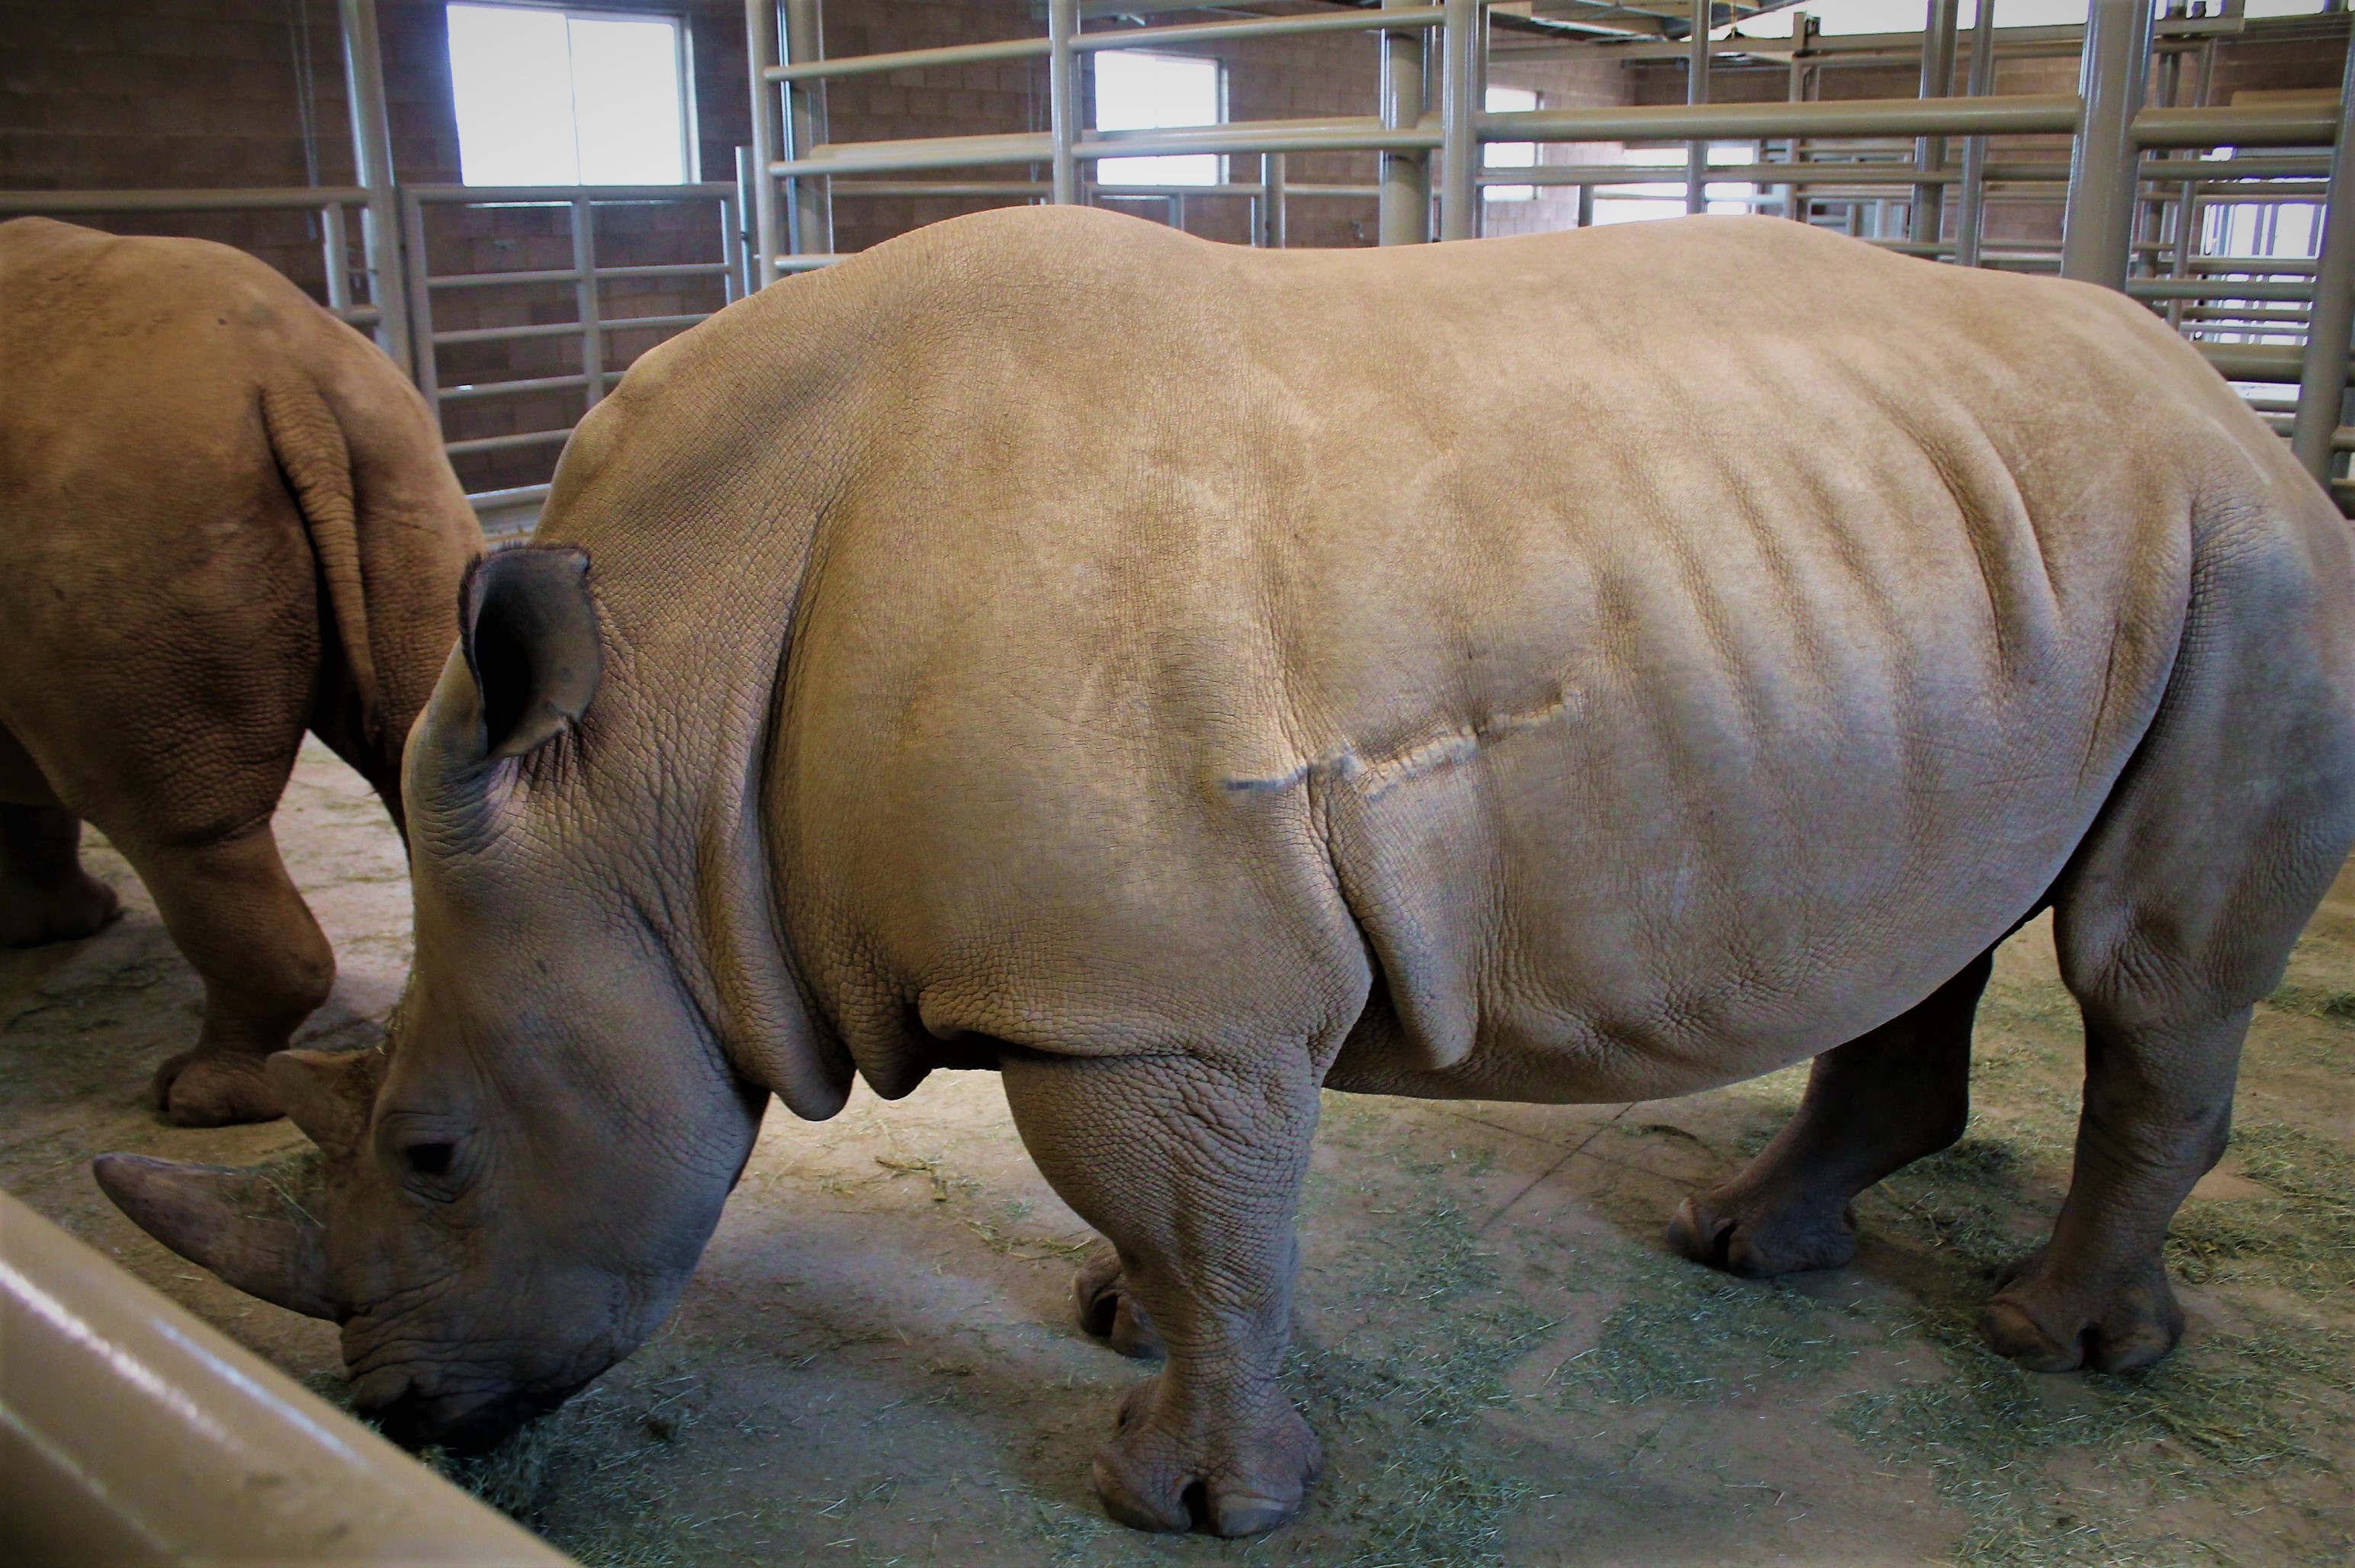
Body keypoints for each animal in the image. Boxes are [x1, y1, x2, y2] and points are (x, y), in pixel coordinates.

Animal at [0, 216, 483, 1124]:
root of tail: (291, 382)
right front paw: (62, 928)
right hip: (396, 458)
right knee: (418, 749)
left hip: (144, 500)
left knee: (184, 829)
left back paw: (195, 1100)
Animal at [96, 208, 2355, 1536]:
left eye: (434, 1155)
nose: (398, 1405)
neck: (643, 744)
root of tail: (2216, 394)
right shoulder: (1125, 984)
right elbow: (1190, 1232)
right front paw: (1109, 1320)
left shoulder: (1141, 992)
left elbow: (1206, 1233)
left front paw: (1187, 1499)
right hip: (1976, 575)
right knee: (1929, 914)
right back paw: (1739, 1242)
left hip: (2243, 558)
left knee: (2147, 973)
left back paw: (2054, 1350)